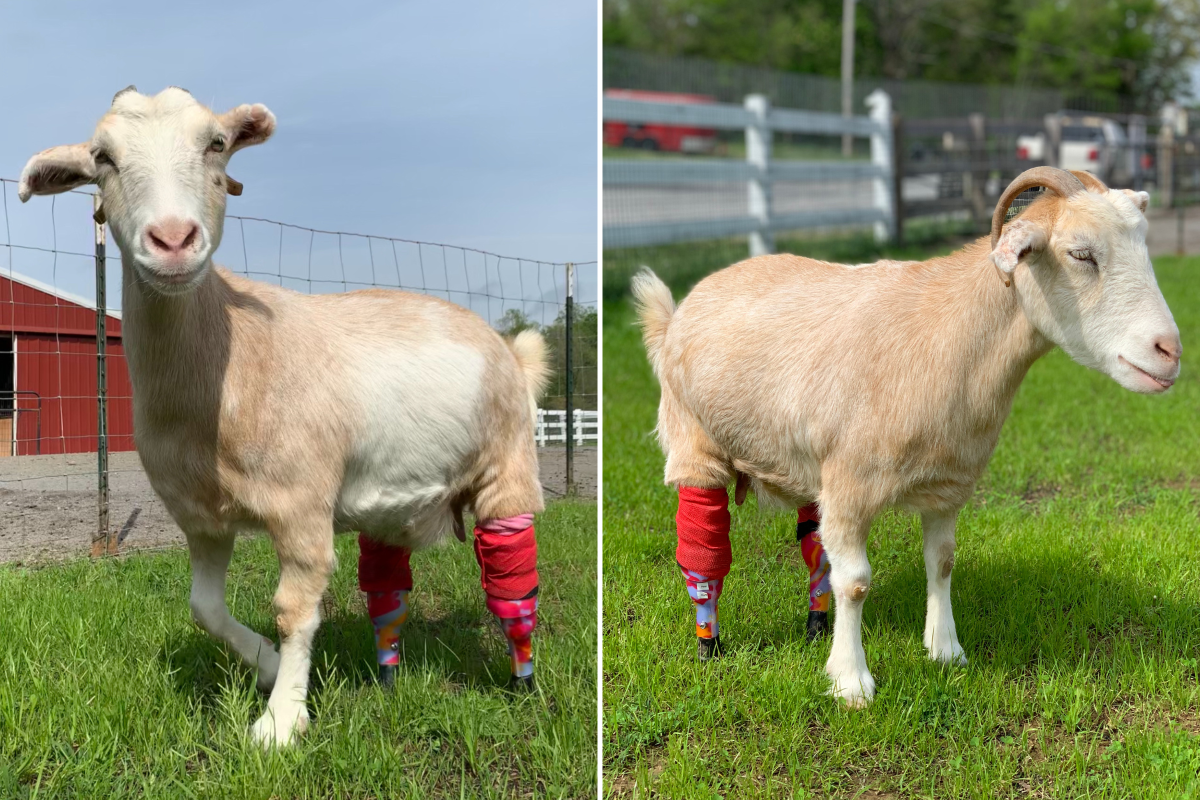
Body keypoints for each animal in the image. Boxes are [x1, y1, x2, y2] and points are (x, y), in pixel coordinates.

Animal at [18, 87, 549, 745]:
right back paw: (388, 676)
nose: (173, 240)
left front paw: (282, 721)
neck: (230, 363)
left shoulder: (301, 505)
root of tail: (512, 350)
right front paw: (268, 667)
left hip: (507, 469)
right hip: (390, 497)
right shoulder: (200, 516)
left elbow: (294, 610)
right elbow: (205, 608)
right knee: (388, 588)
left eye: (216, 143)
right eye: (102, 158)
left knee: (513, 588)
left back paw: (523, 679)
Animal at [634, 166, 1181, 707]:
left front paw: (945, 650)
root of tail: (678, 310)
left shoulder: (947, 485)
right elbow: (855, 583)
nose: (1170, 351)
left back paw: (816, 625)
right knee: (705, 559)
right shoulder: (851, 488)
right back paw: (710, 646)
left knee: (814, 548)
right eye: (1081, 254)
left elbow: (941, 563)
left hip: (808, 462)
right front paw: (851, 682)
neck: (950, 334)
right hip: (695, 443)